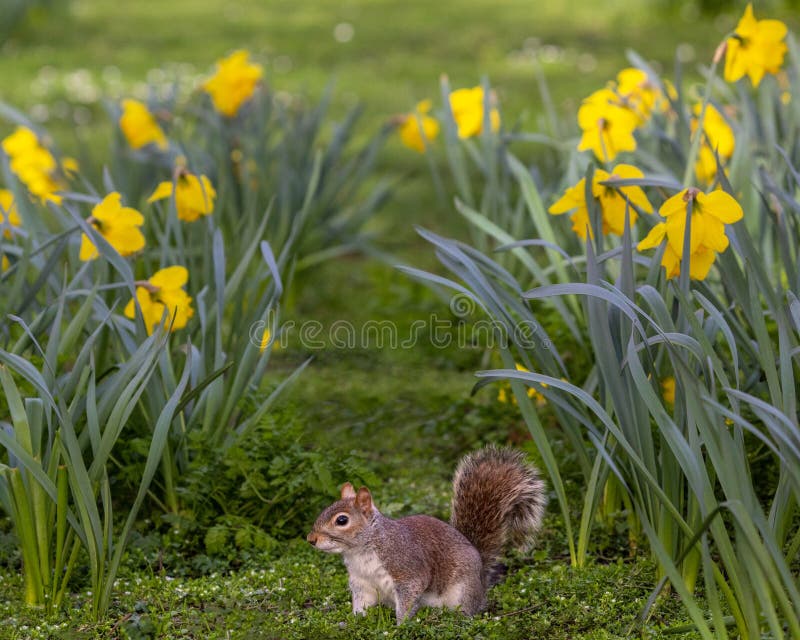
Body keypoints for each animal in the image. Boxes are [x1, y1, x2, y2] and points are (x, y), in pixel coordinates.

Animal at [306, 446, 547, 623]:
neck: (361, 550)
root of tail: (481, 579)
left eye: (342, 520)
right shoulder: (361, 582)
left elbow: (408, 598)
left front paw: (400, 627)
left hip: (463, 590)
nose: (311, 539)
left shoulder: (407, 570)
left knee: (467, 610)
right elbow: (361, 604)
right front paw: (354, 621)